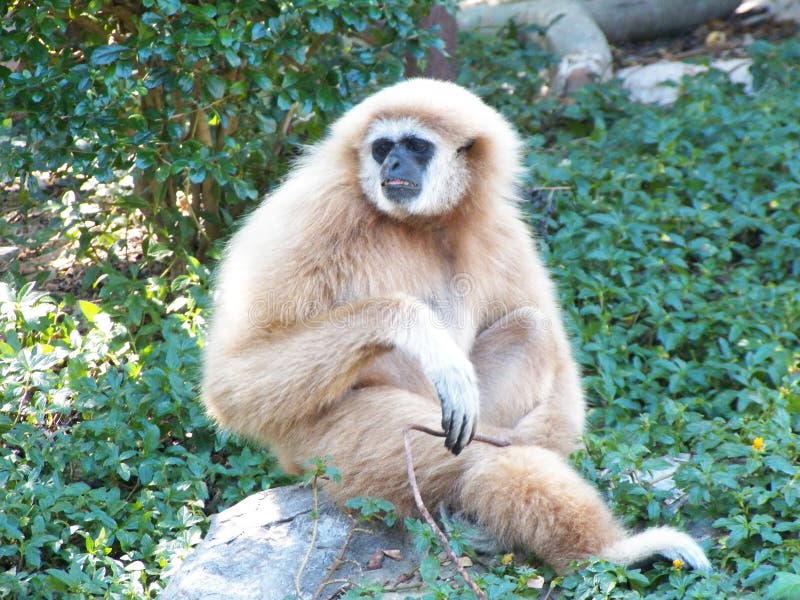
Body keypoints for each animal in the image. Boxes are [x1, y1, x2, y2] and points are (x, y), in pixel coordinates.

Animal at [202, 78, 711, 574]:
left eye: (415, 145)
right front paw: (417, 330)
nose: (393, 161)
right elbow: (234, 380)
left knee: (532, 328)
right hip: (325, 447)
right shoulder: (312, 214)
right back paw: (611, 554)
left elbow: (560, 374)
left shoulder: (501, 228)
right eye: (381, 147)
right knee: (478, 454)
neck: (418, 224)